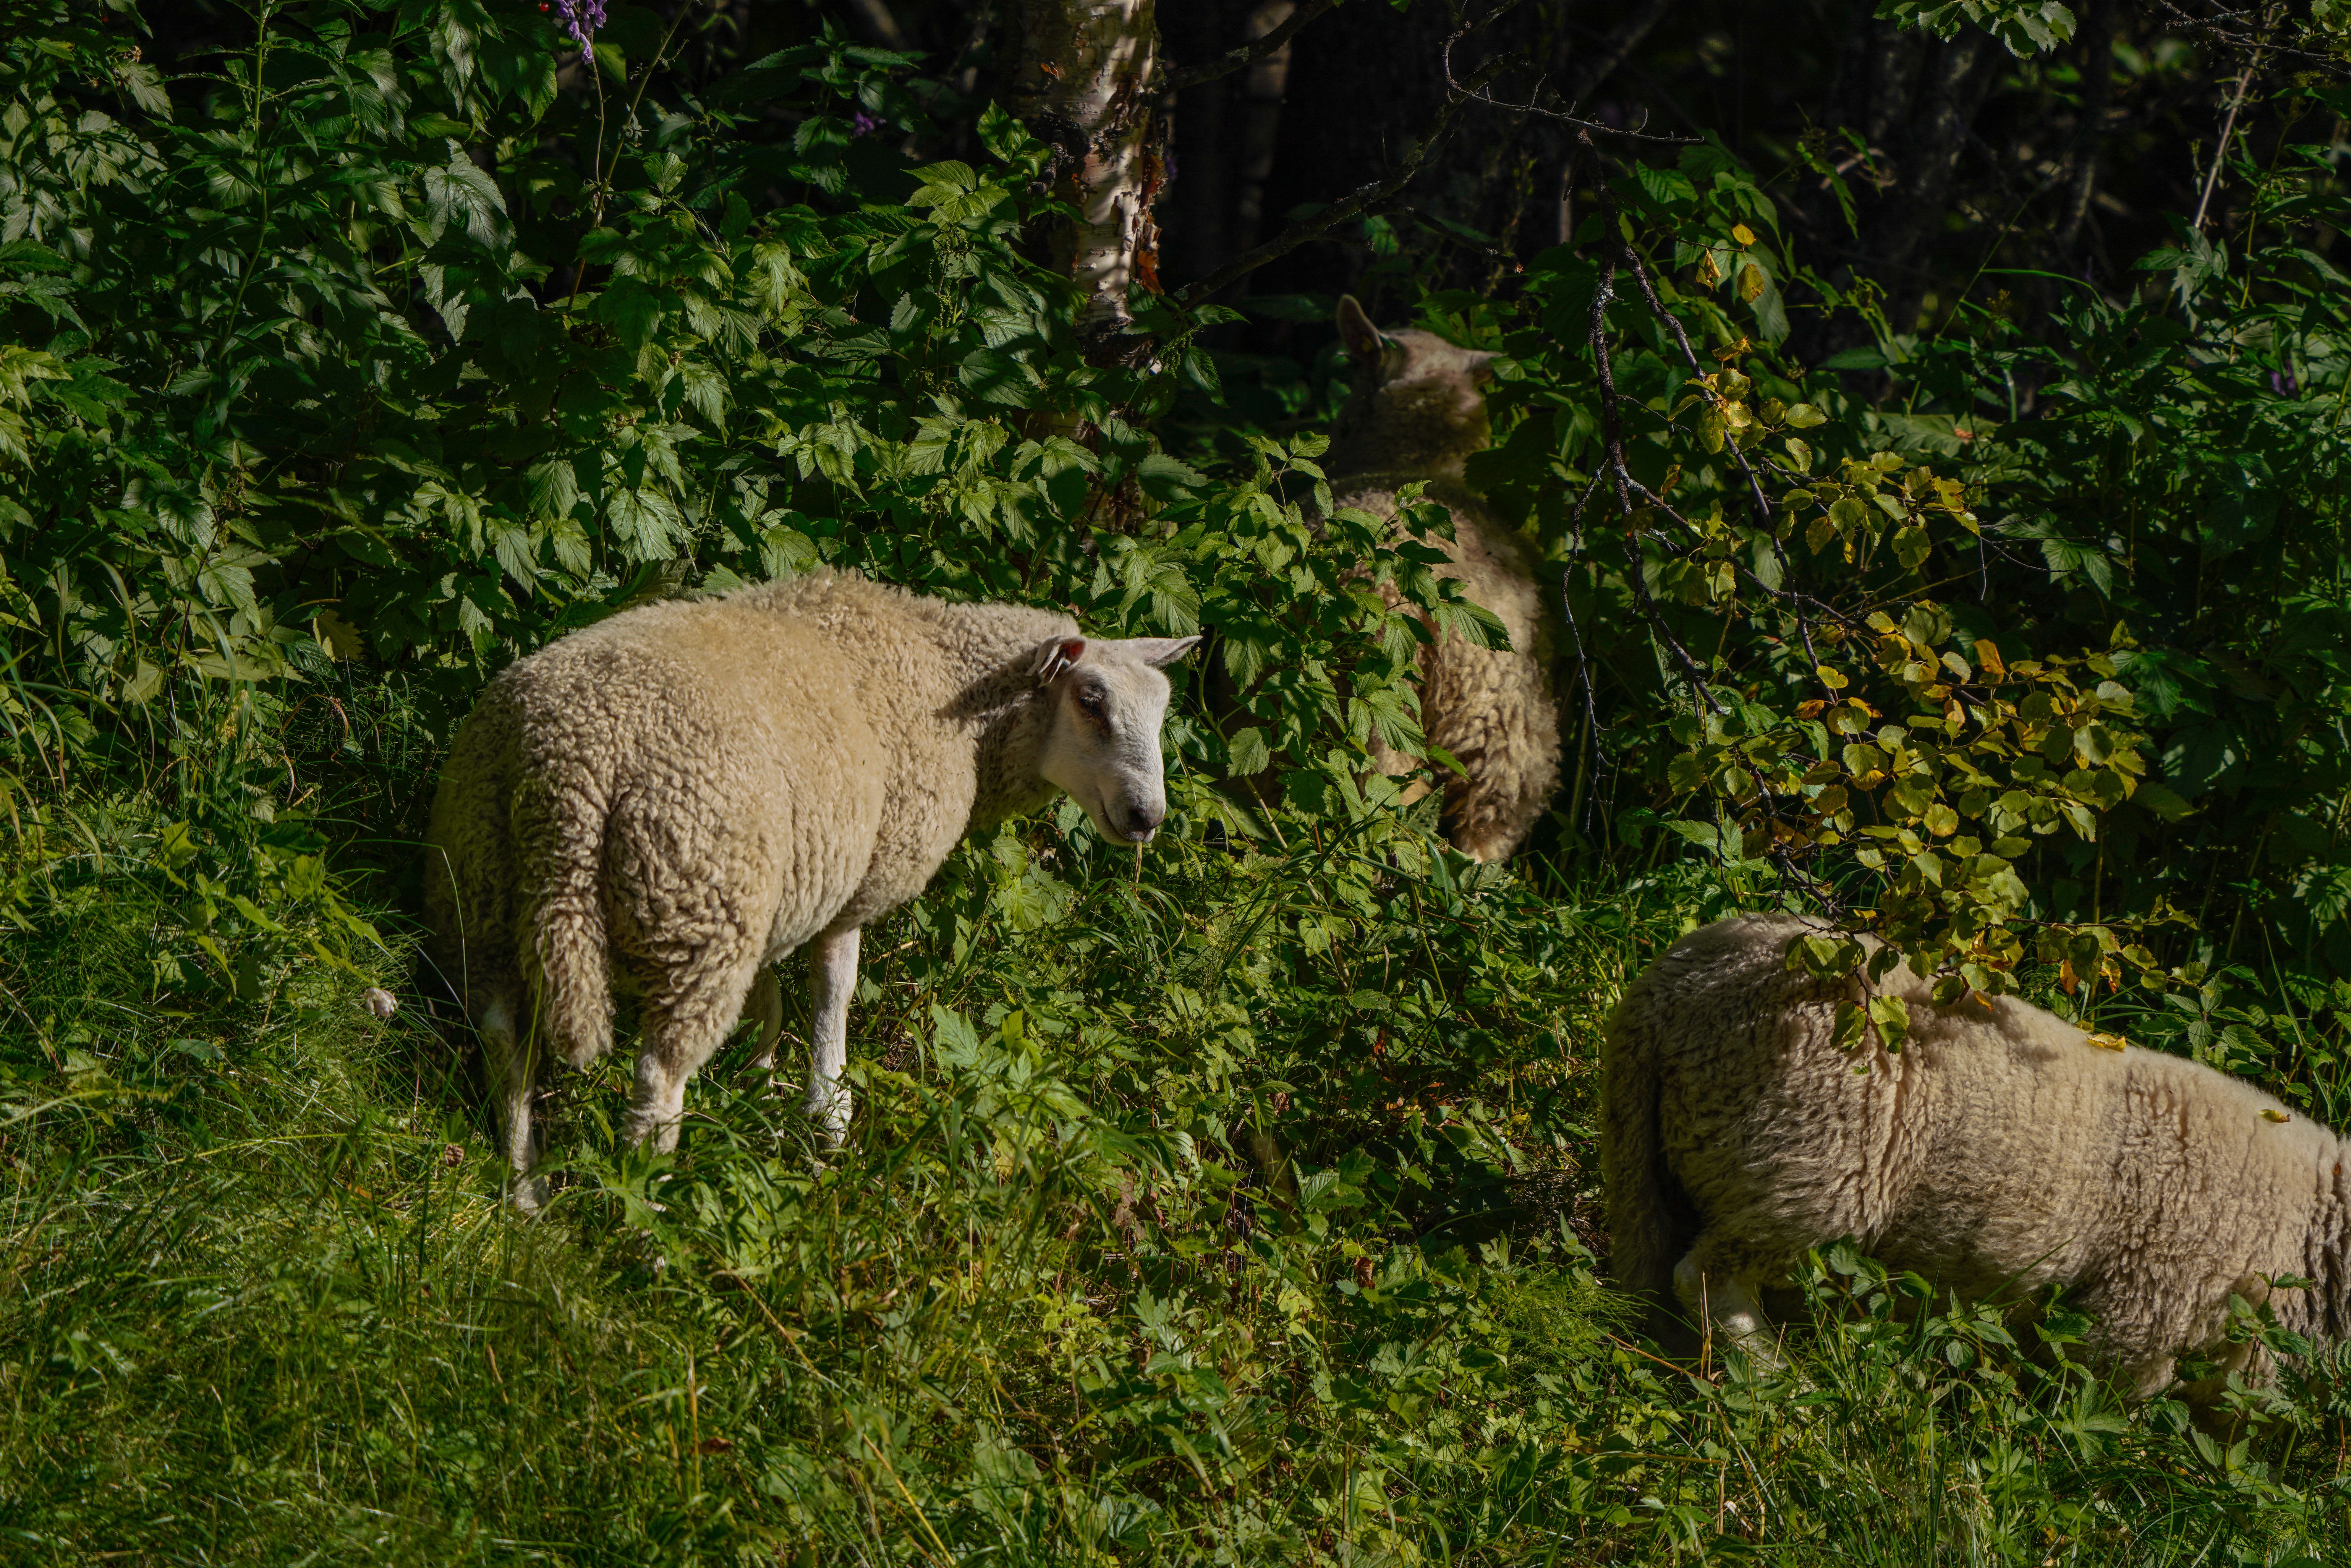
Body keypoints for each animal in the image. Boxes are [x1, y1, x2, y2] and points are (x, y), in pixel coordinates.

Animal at [423, 570, 1198, 1208]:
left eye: (1164, 710)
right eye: (1091, 700)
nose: (1147, 818)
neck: (945, 671)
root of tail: (570, 767)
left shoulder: (784, 893)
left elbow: (768, 998)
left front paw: (759, 1089)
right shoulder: (857, 881)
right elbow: (835, 987)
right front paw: (826, 1113)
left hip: (486, 891)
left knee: (505, 1045)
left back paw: (525, 1193)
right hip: (697, 904)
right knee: (657, 1084)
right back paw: (647, 1219)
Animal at [1603, 913, 2350, 1406]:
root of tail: (1671, 991)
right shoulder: (2138, 1325)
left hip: (1656, 1165)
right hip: (1807, 1163)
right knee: (1709, 1279)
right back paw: (1785, 1383)